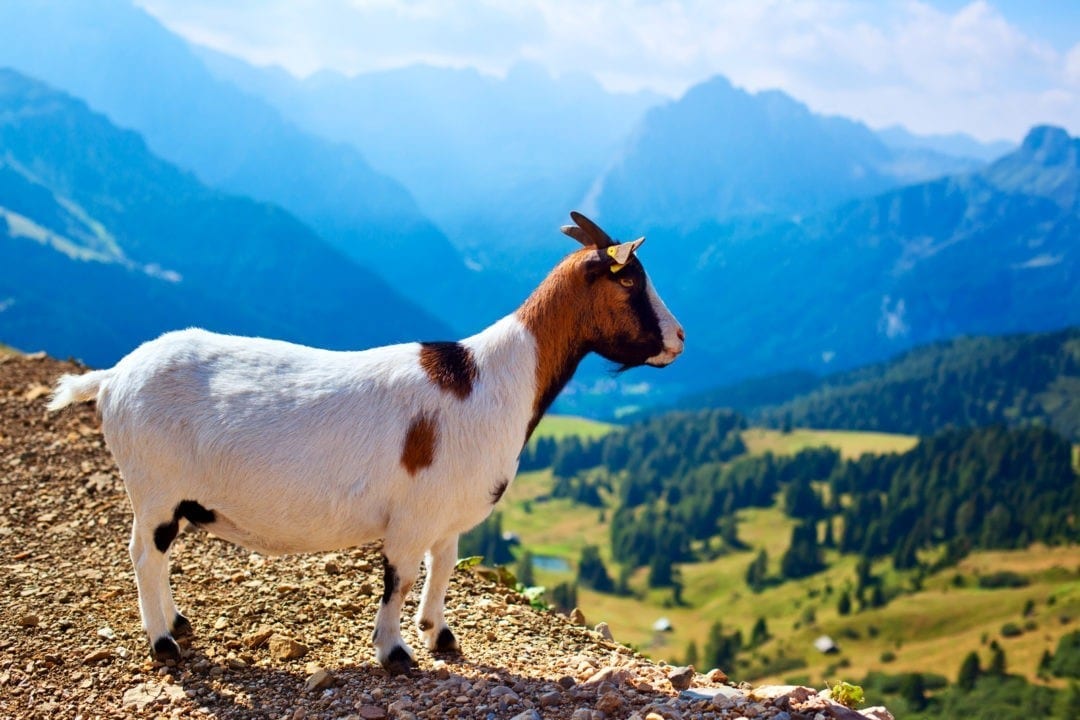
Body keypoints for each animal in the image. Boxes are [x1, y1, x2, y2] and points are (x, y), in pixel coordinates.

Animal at [47, 212, 685, 673]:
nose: (679, 338)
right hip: (153, 487)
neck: (490, 377)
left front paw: (439, 635)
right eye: (631, 280)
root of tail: (113, 378)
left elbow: (443, 565)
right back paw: (163, 644)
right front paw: (395, 654)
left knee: (156, 556)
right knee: (143, 554)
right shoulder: (411, 515)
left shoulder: (447, 513)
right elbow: (398, 578)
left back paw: (177, 624)